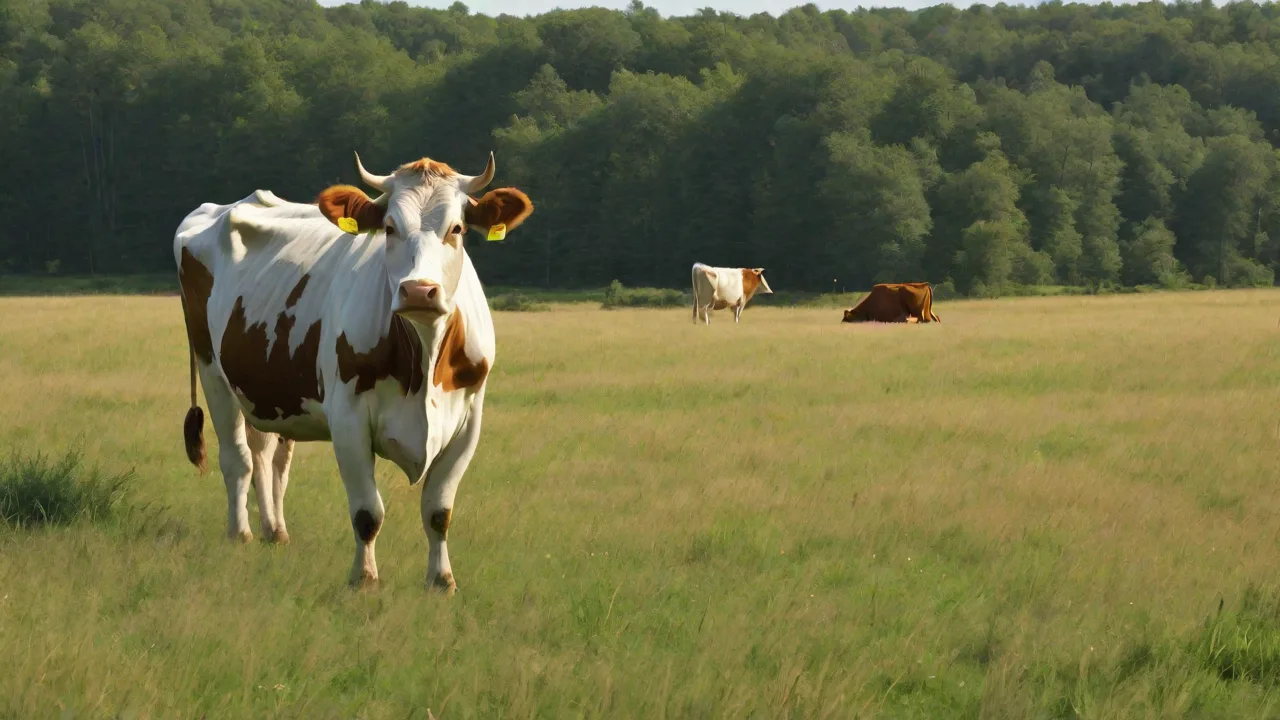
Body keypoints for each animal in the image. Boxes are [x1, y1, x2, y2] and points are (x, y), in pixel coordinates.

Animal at [175, 151, 533, 592]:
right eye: (390, 228)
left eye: (457, 228)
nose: (419, 290)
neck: (424, 354)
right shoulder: (348, 420)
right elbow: (367, 513)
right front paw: (364, 579)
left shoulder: (468, 422)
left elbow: (438, 511)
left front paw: (441, 581)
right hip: (211, 369)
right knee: (237, 458)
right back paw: (239, 533)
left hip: (266, 386)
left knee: (269, 457)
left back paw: (274, 531)